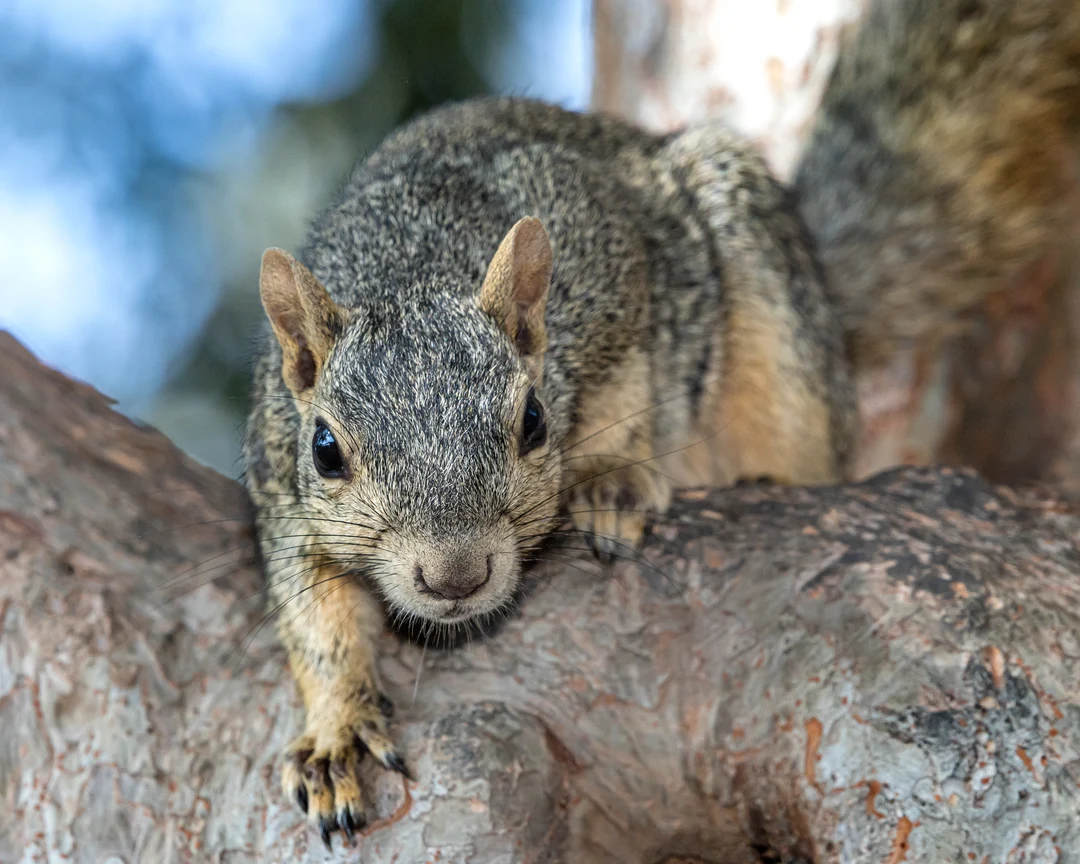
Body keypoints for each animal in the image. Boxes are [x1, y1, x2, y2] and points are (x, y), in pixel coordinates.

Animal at [242, 0, 1080, 847]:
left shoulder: (615, 279)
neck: (411, 266)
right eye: (326, 451)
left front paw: (609, 477)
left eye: (535, 420)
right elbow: (313, 613)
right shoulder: (279, 483)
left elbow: (629, 393)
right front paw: (337, 732)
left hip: (769, 297)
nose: (456, 577)